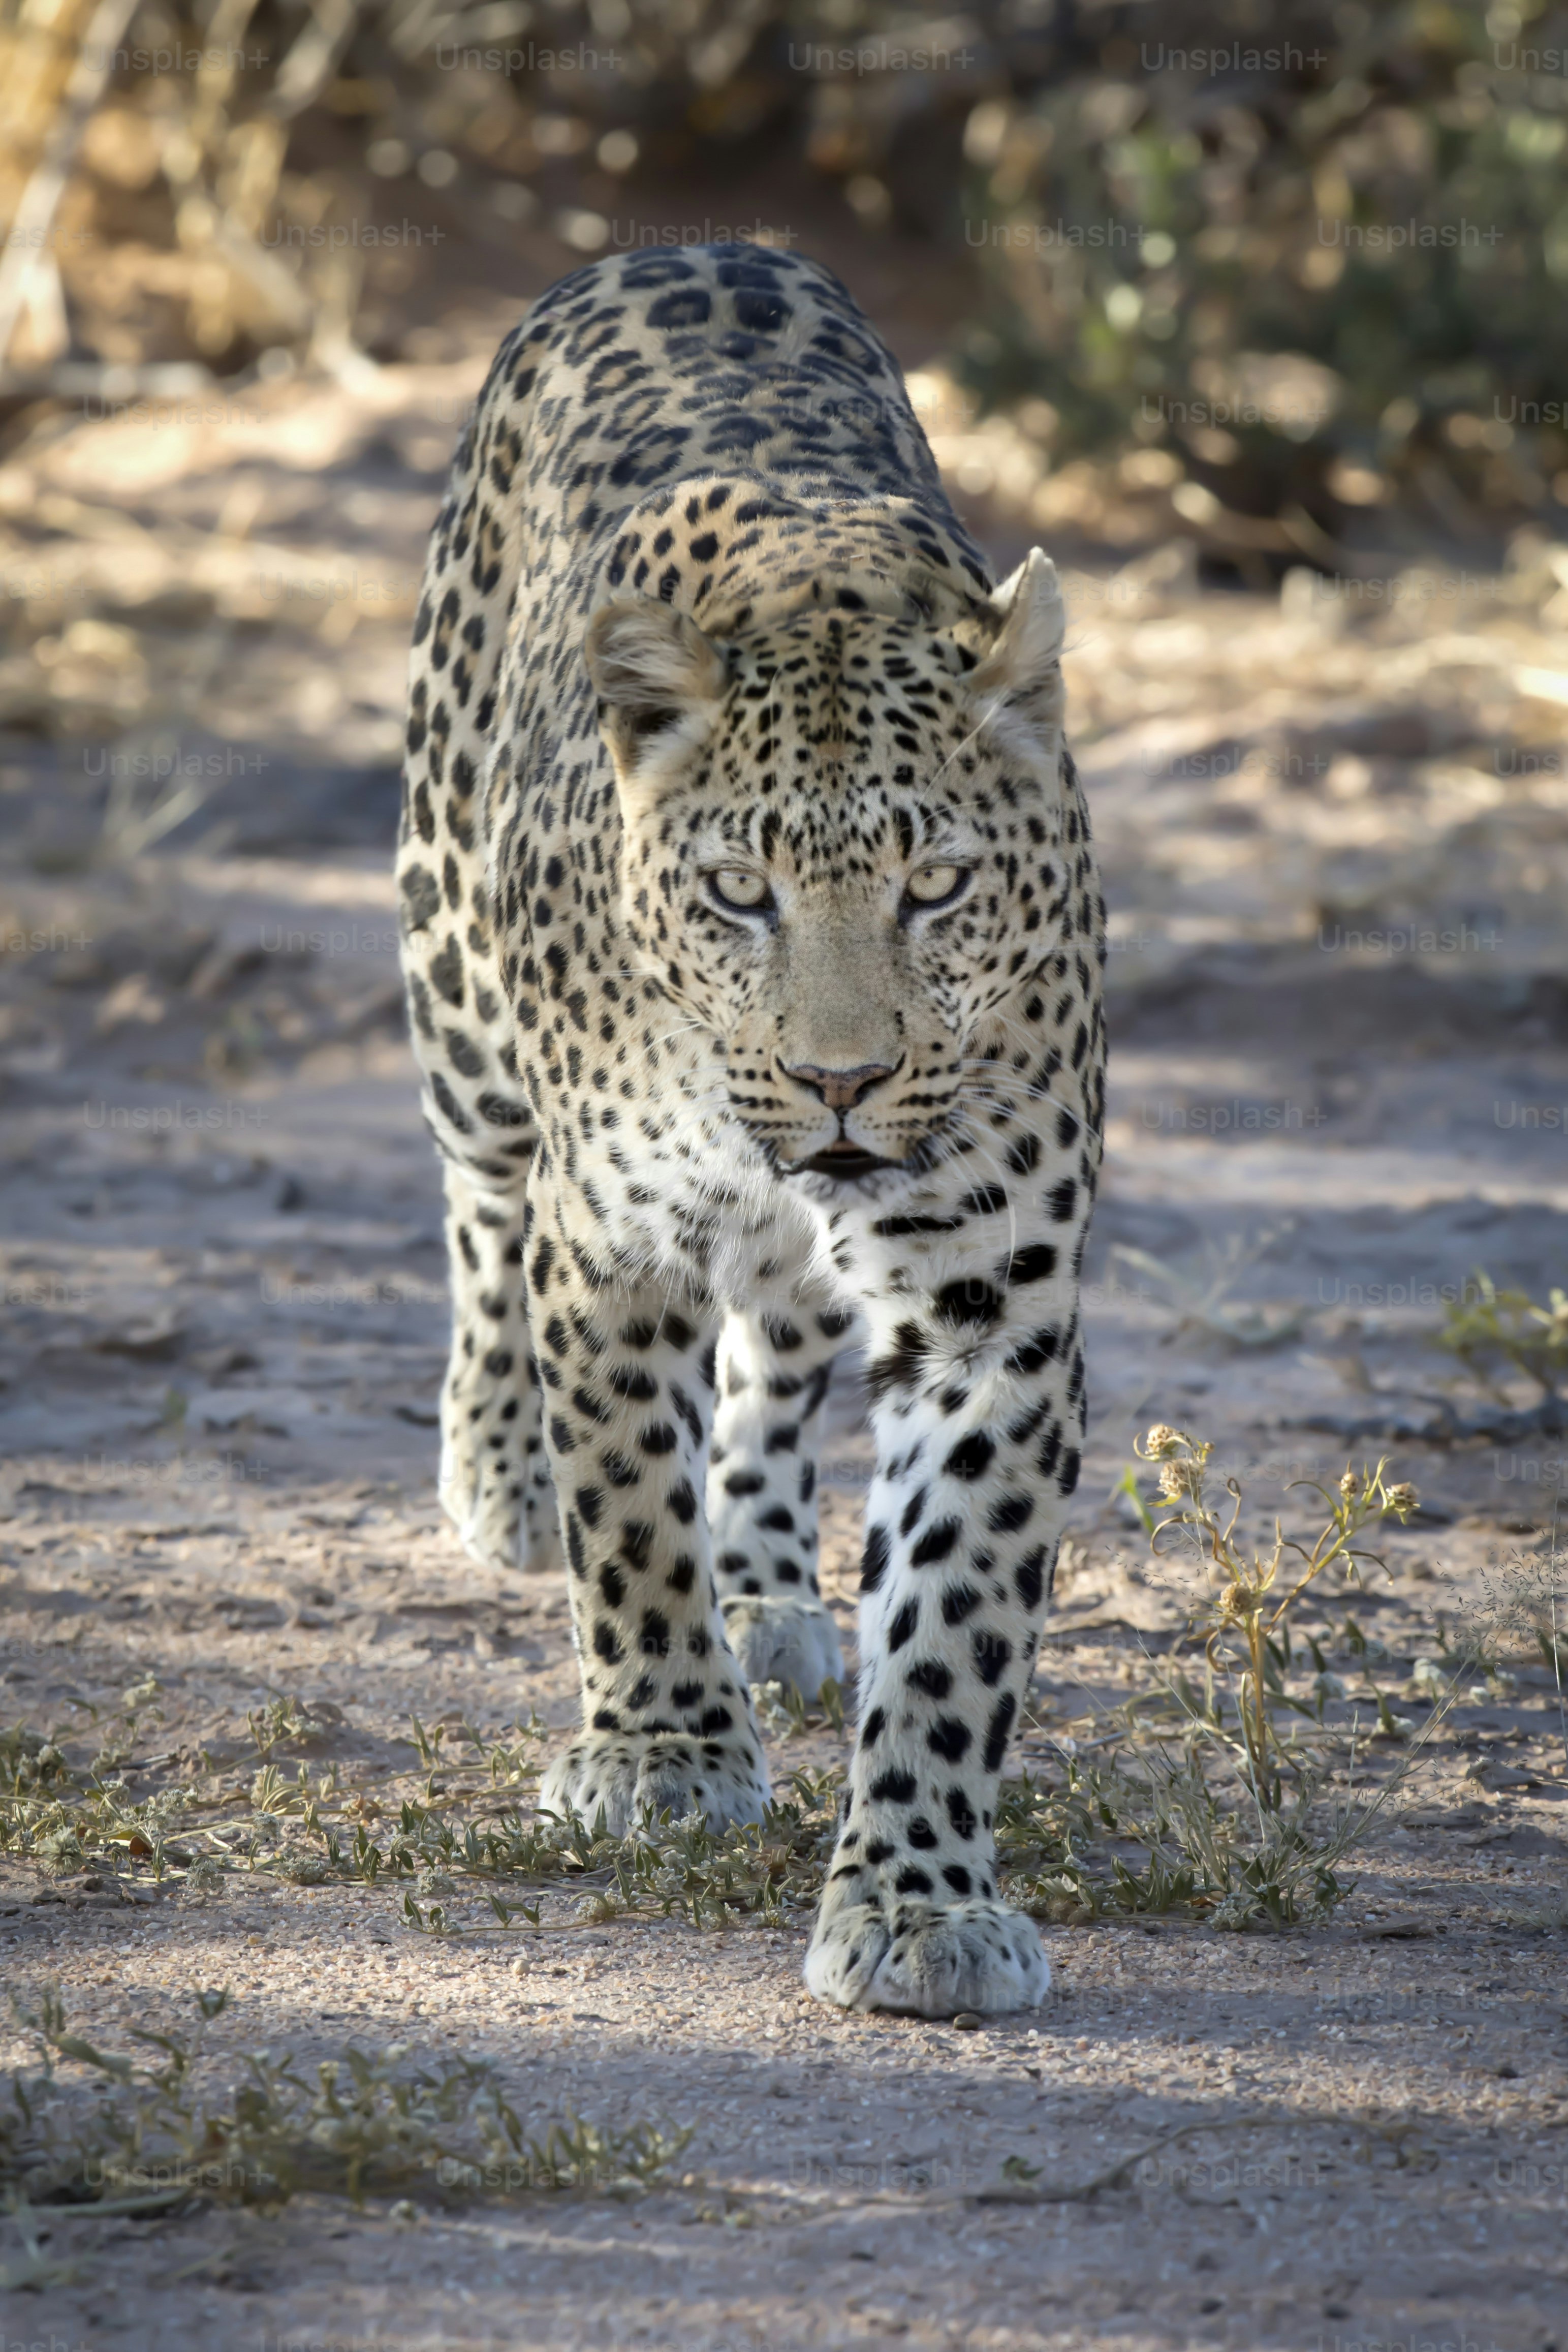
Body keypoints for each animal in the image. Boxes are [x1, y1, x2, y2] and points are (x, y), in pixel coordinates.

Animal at [396, 239, 1105, 2017]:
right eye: (736, 891)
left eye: (936, 884)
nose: (840, 1079)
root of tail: (689, 239)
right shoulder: (611, 1241)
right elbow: (626, 1499)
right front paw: (659, 1749)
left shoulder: (991, 1301)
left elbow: (952, 1616)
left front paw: (918, 1897)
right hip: (453, 983)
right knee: (479, 1205)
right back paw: (498, 1470)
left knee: (776, 1340)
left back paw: (767, 1579)